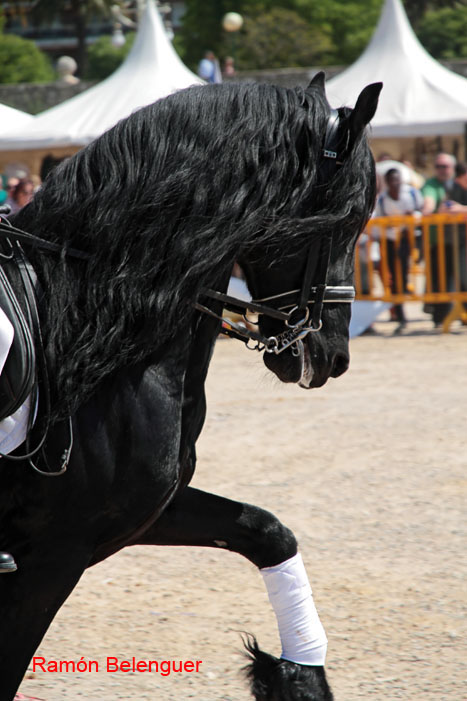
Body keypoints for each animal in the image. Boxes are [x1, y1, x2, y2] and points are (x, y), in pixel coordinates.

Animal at [0, 73, 381, 700]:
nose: (334, 357)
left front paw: (299, 677)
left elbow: (268, 532)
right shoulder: (48, 557)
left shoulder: (146, 511)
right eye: (349, 219)